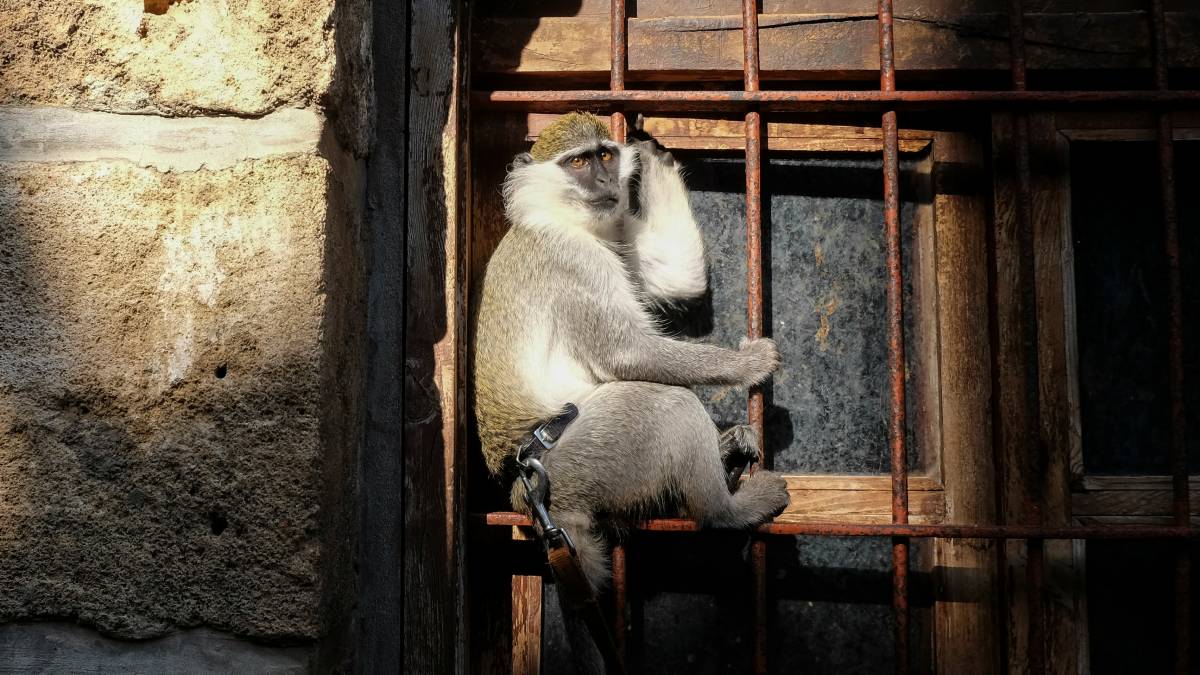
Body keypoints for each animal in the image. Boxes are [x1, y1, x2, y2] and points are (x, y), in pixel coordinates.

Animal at [473, 112, 790, 668]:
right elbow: (627, 352)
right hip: (589, 453)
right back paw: (726, 511)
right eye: (578, 162)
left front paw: (655, 153)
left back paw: (727, 453)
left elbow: (679, 276)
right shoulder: (575, 262)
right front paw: (749, 364)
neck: (567, 220)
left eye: (604, 155)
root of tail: (525, 491)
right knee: (670, 405)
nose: (604, 179)